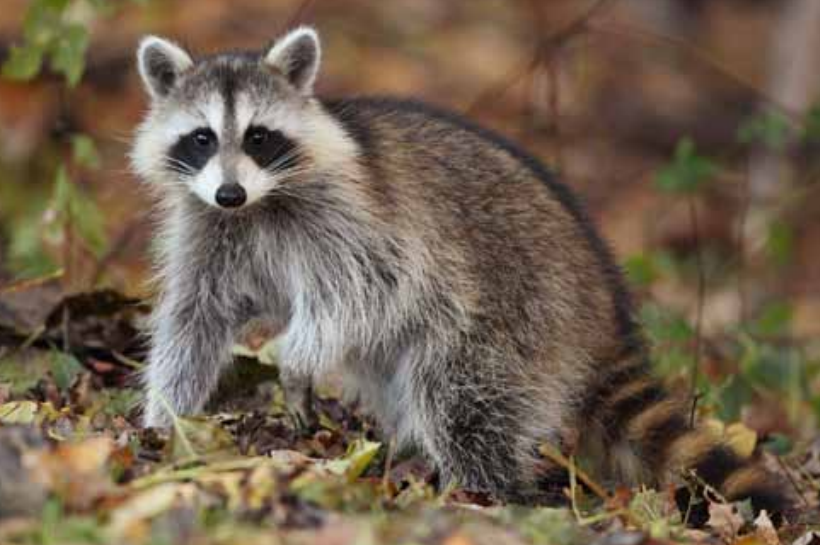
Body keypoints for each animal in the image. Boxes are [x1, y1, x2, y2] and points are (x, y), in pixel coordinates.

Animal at [131, 27, 792, 516]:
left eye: (259, 137)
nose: (230, 192)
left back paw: (483, 490)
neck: (261, 202)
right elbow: (195, 319)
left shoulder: (359, 222)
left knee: (460, 395)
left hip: (519, 311)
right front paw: (166, 420)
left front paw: (295, 355)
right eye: (201, 138)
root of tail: (603, 299)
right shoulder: (210, 228)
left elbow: (364, 294)